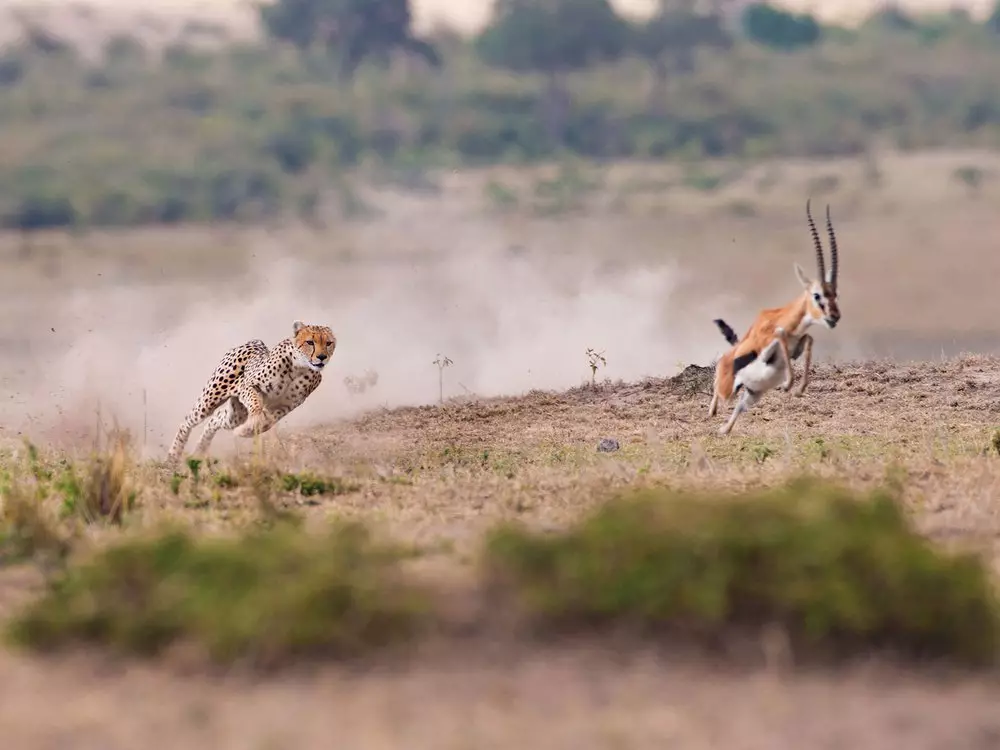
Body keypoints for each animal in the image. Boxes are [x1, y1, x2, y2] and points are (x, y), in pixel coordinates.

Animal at [165, 320, 336, 468]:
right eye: (310, 342)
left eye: (328, 343)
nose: (322, 357)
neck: (299, 367)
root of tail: (254, 341)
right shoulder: (248, 386)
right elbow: (256, 405)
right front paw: (252, 422)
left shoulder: (283, 406)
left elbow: (266, 422)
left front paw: (246, 430)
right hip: (211, 397)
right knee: (188, 421)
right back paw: (173, 455)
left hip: (235, 415)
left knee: (215, 419)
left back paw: (200, 449)